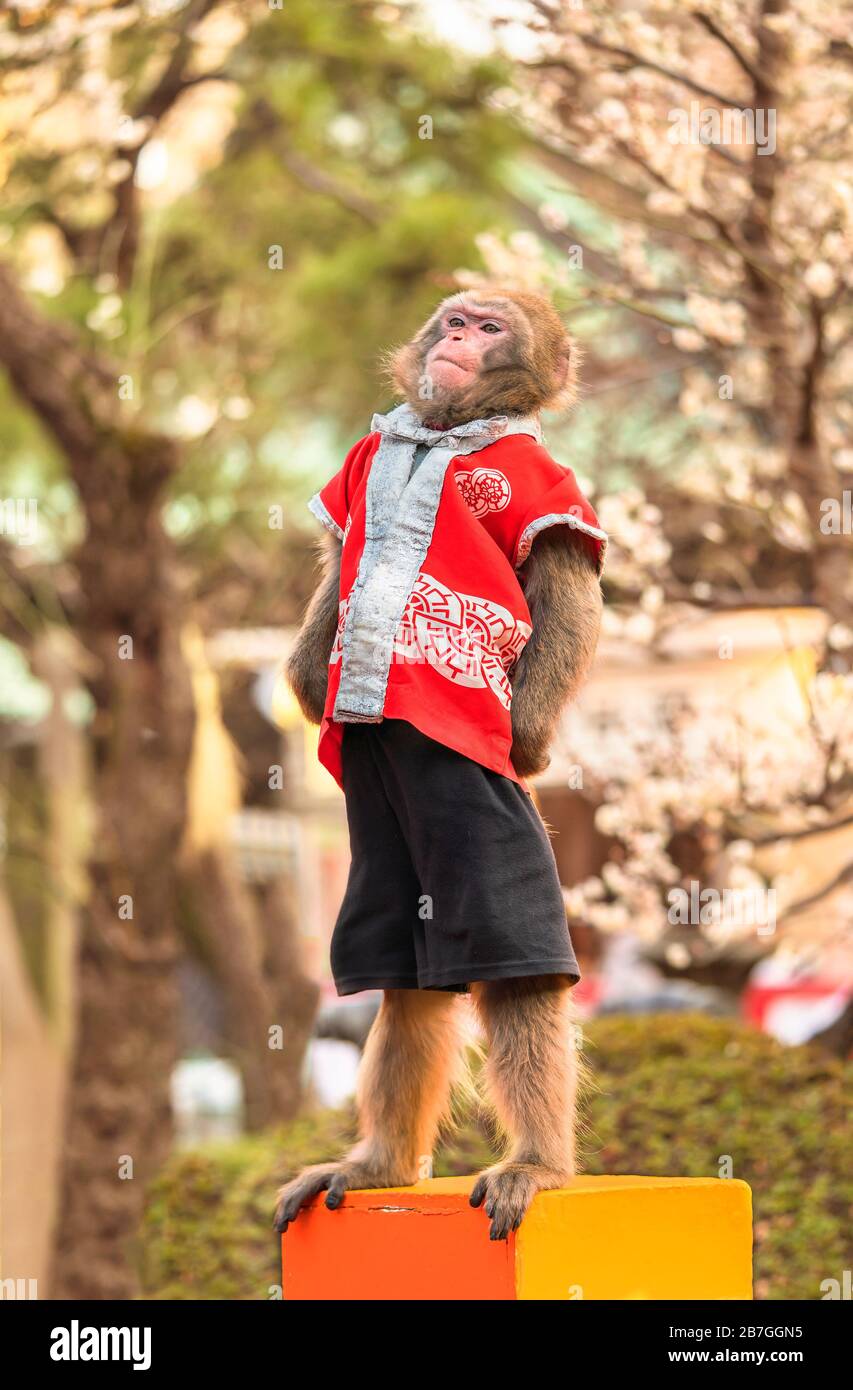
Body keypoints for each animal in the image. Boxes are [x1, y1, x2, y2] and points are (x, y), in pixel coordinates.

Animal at [275, 287, 605, 1241]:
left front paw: (525, 742)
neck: (444, 435)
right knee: (407, 983)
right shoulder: (361, 466)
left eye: (491, 328)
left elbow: (560, 593)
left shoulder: (544, 486)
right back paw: (382, 1163)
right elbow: (335, 569)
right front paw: (311, 680)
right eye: (456, 319)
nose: (459, 338)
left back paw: (538, 1163)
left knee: (517, 967)